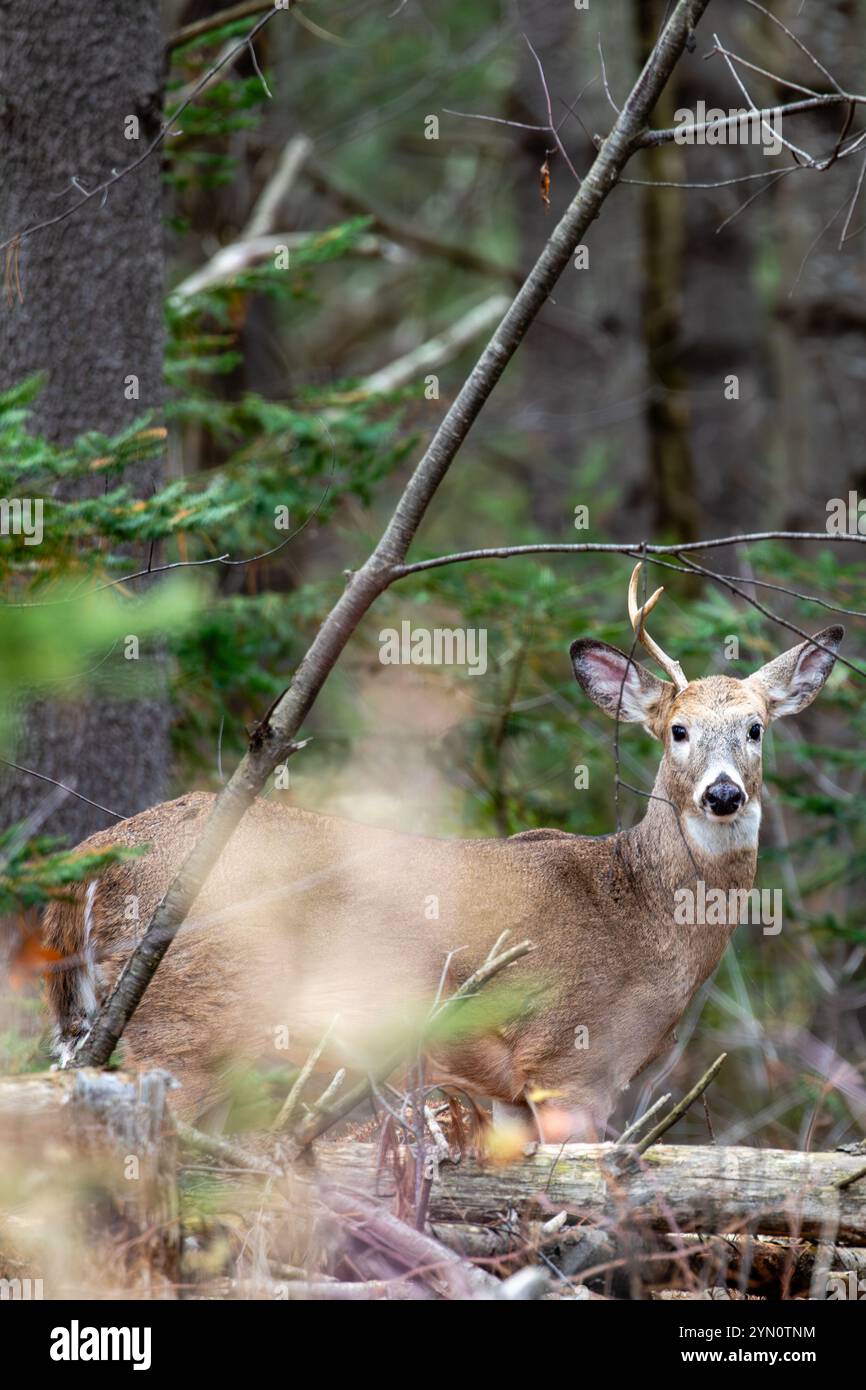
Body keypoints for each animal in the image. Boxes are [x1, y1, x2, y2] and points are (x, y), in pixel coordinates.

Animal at [42, 565, 843, 1140]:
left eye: (756, 728)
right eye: (678, 729)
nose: (723, 794)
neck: (644, 916)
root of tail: (92, 859)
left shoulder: (510, 1088)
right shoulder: (568, 1060)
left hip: (88, 1023)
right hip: (184, 1024)